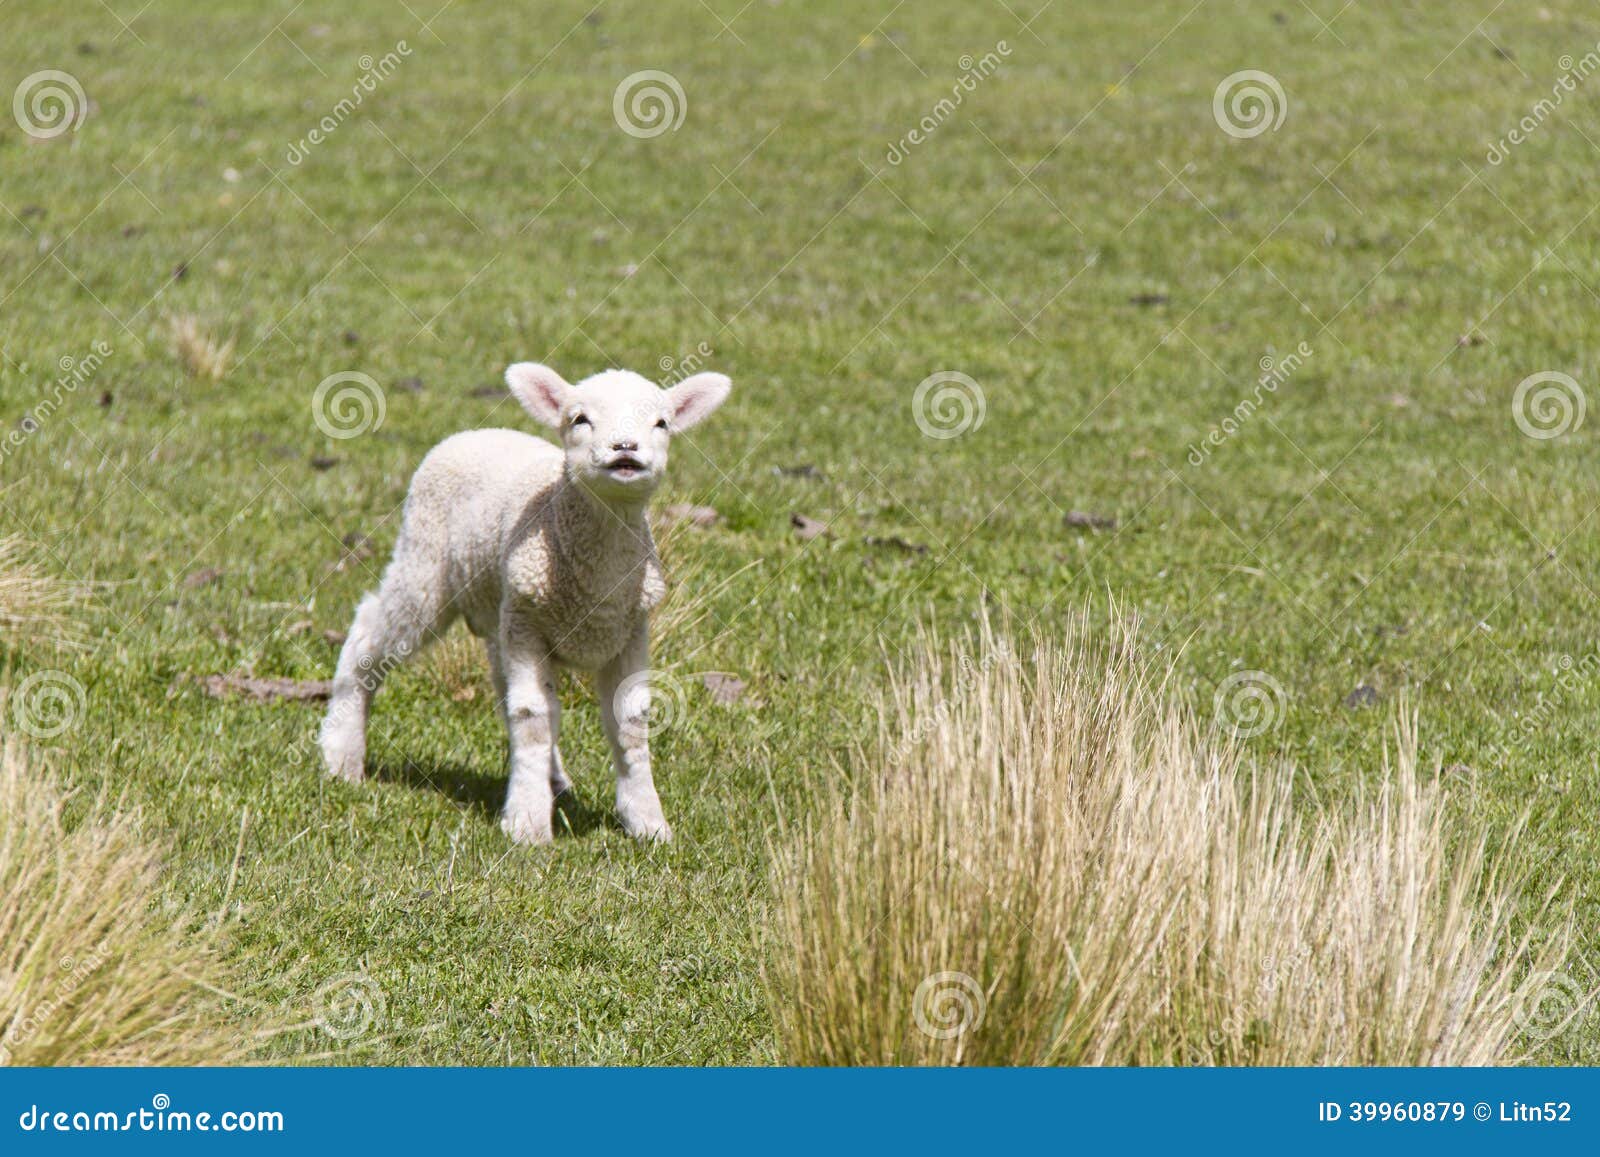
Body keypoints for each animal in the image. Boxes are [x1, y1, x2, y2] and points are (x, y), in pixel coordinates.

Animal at [318, 362, 732, 845]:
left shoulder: (630, 629)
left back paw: (555, 779)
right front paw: (528, 825)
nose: (625, 448)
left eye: (662, 423)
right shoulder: (528, 625)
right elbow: (533, 716)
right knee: (370, 632)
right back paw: (340, 753)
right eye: (579, 419)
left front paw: (648, 822)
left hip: (499, 612)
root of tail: (476, 432)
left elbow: (630, 721)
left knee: (506, 692)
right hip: (427, 568)